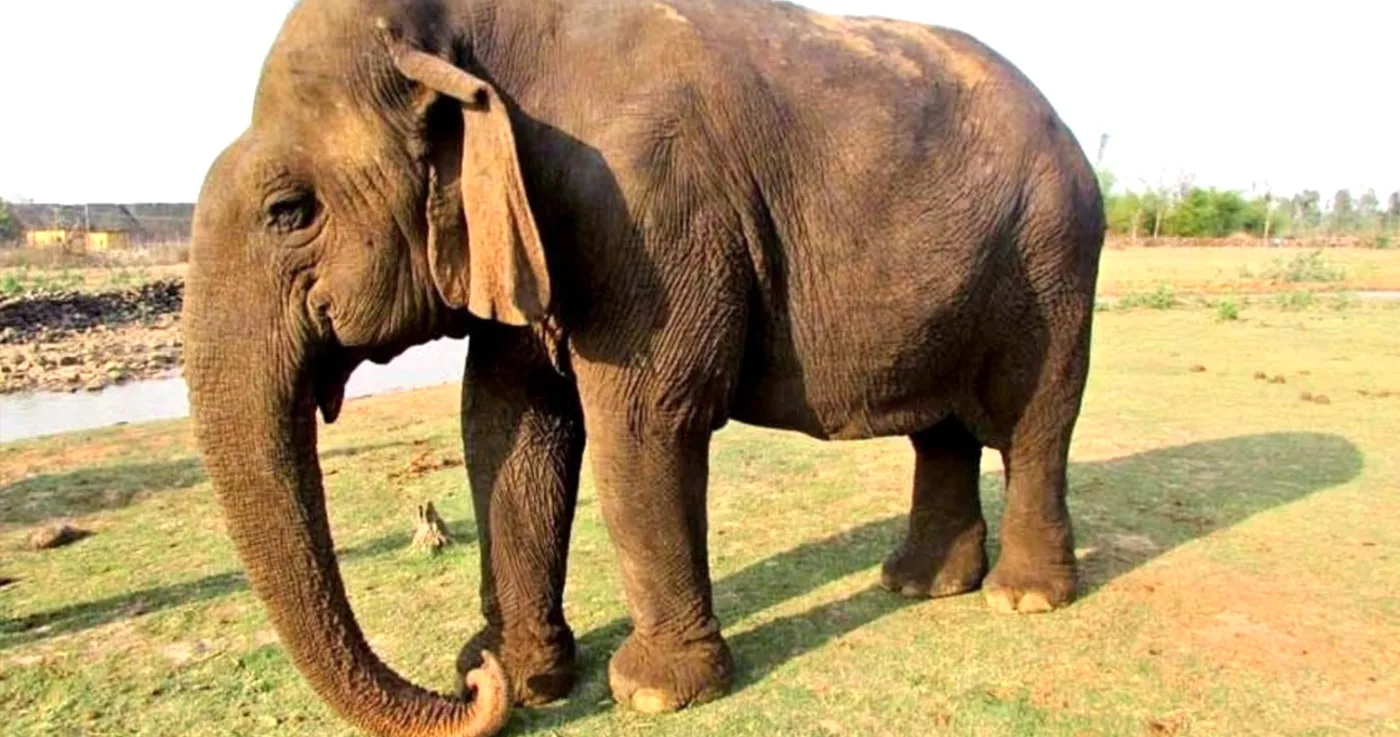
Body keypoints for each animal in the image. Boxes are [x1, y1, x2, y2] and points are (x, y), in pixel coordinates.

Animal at [181, 0, 1105, 735]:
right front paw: (526, 676)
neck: (470, 27)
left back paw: (1022, 597)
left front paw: (653, 692)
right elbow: (507, 423)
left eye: (288, 211)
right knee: (942, 428)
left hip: (1055, 256)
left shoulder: (650, 211)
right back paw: (919, 585)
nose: (470, 679)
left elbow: (642, 419)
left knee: (1037, 420)